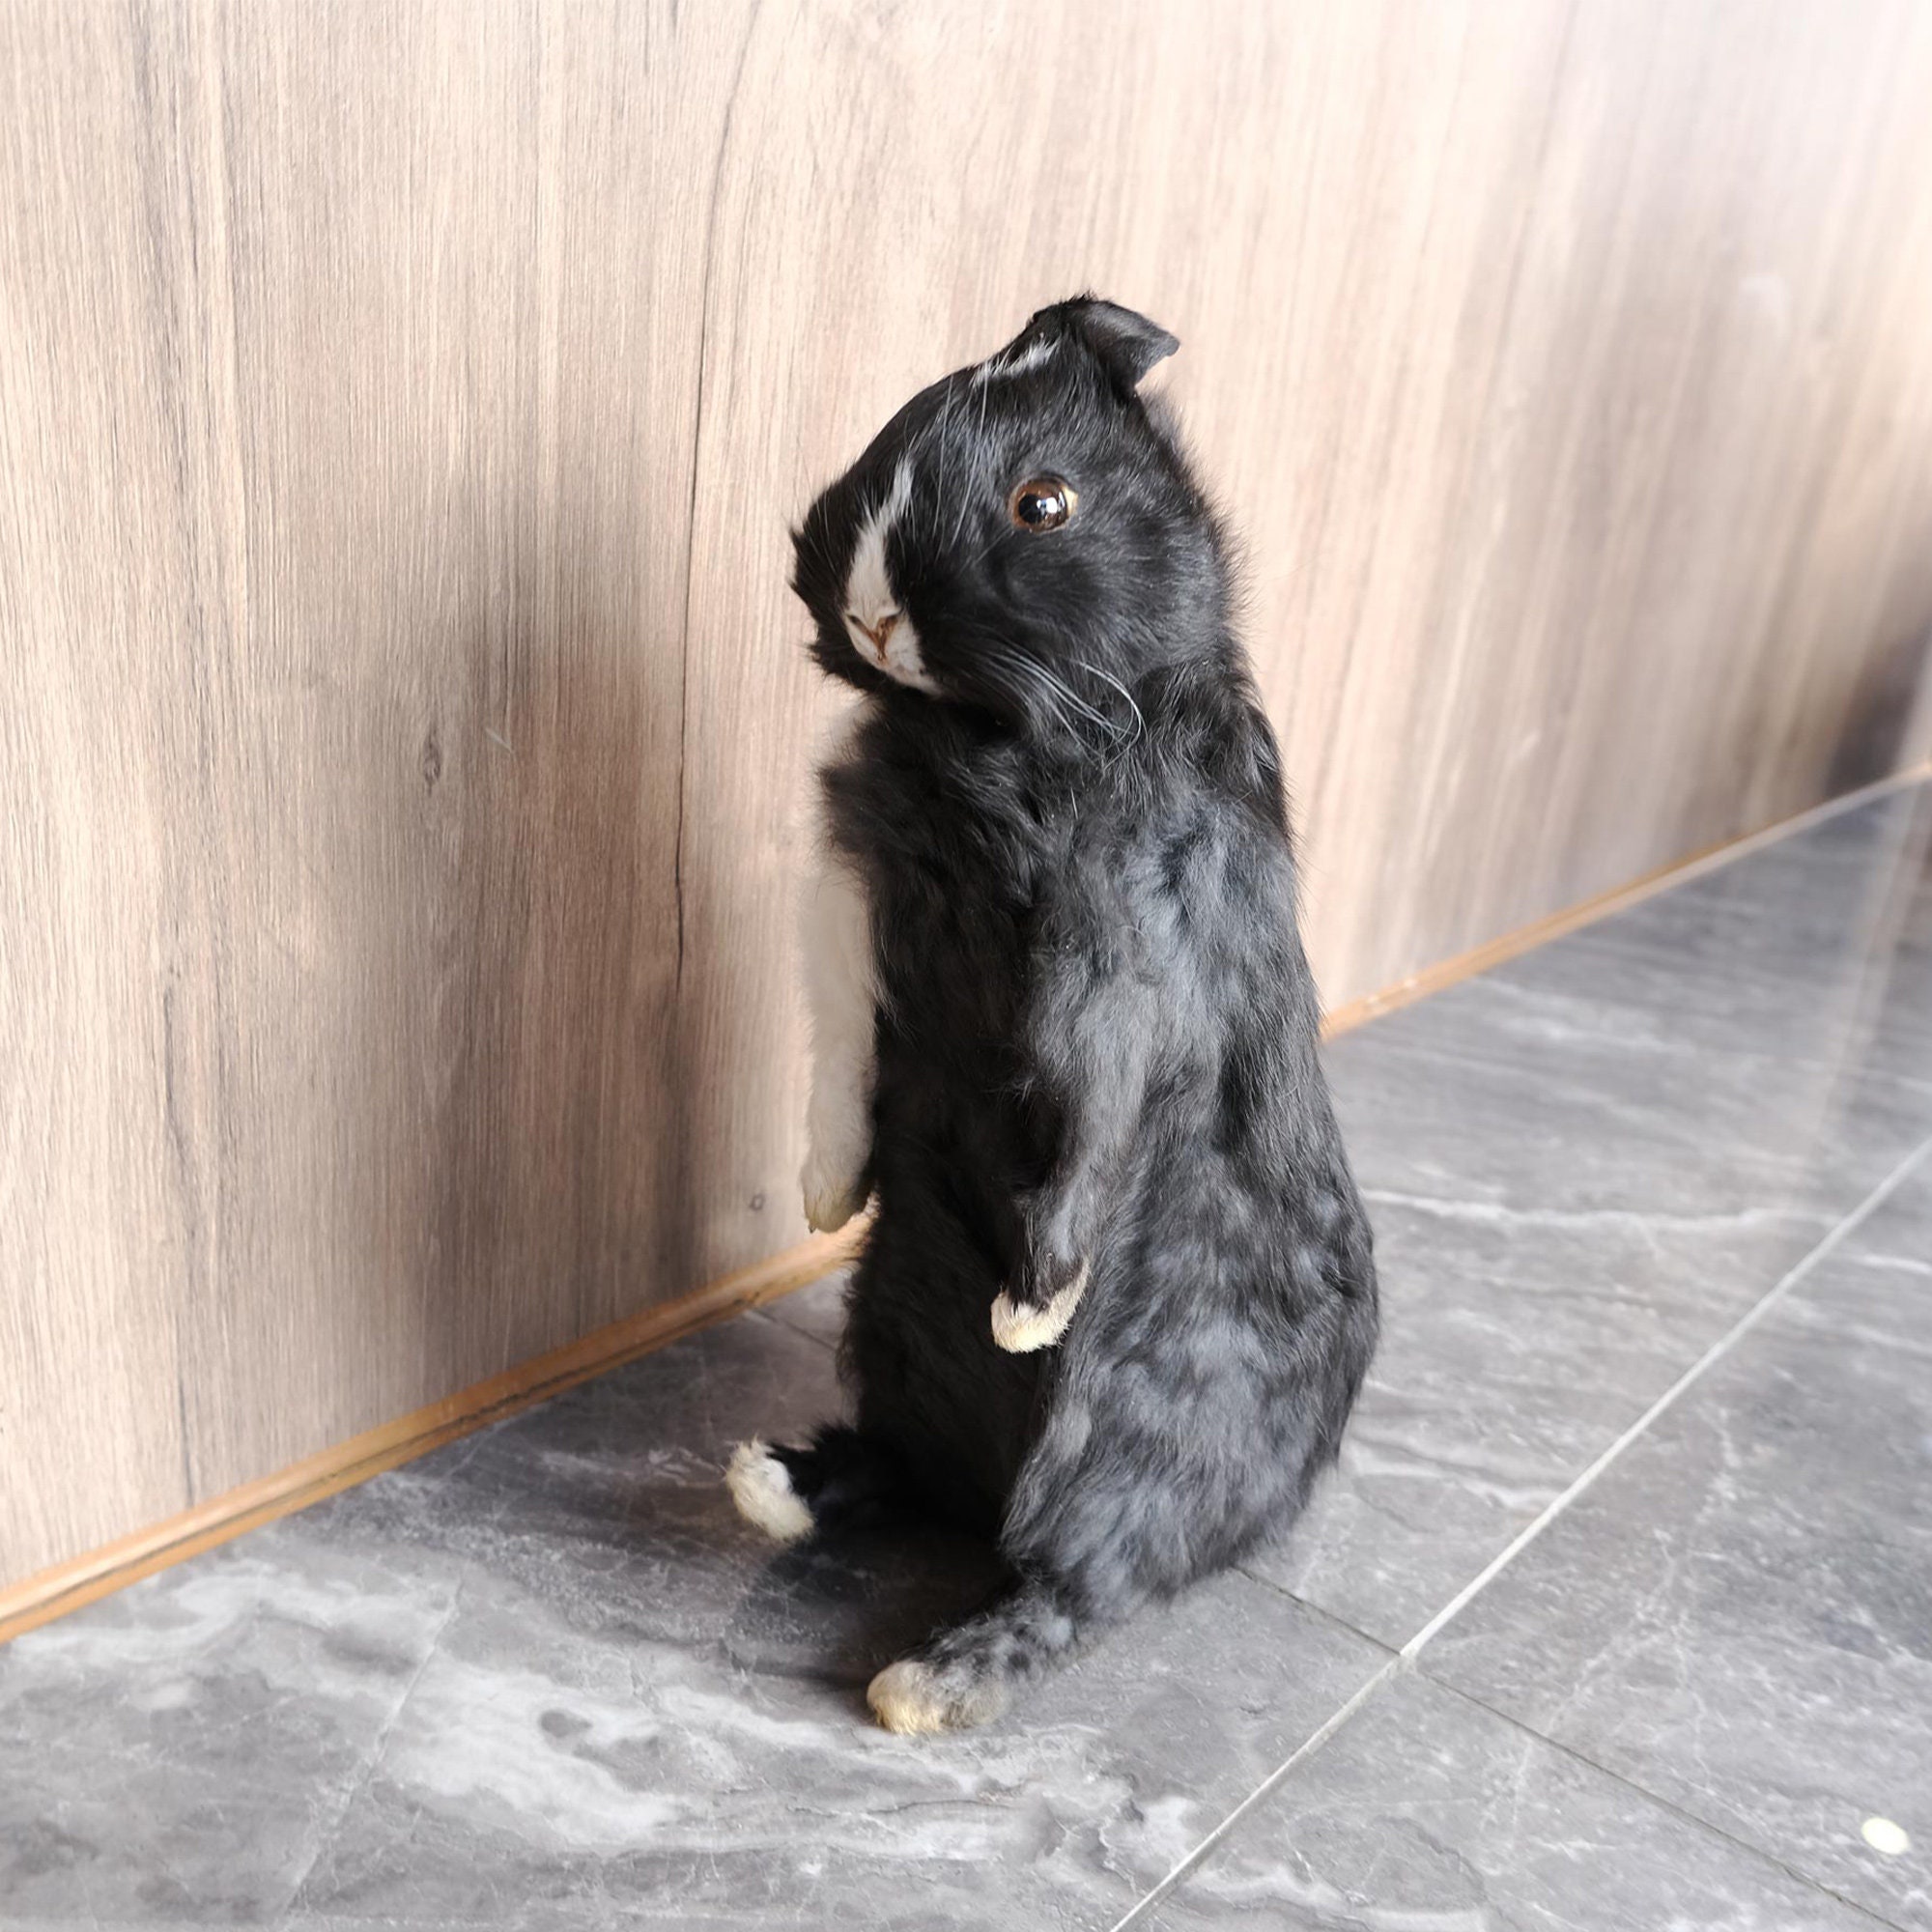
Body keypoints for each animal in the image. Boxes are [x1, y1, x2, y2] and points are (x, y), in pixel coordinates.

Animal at [725, 296, 1378, 1735]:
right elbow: (837, 1063)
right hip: (894, 1330)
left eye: (1042, 503)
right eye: (885, 443)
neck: (992, 740)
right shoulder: (847, 900)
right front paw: (819, 1195)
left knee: (1072, 1585)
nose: (871, 610)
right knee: (906, 1473)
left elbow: (1088, 1122)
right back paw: (767, 1484)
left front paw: (1033, 1305)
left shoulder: (1119, 959)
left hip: (1123, 1462)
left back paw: (925, 1682)